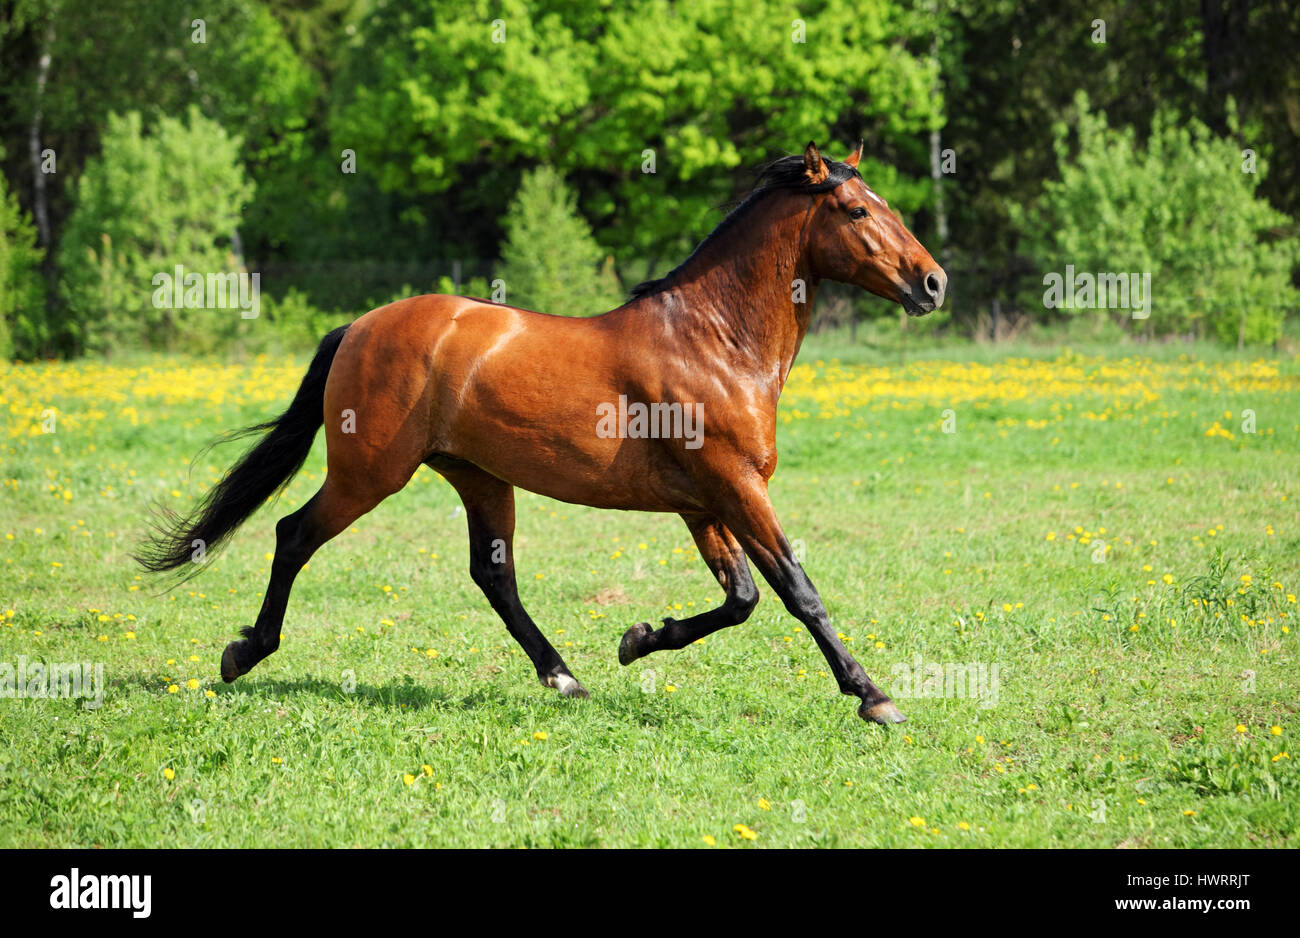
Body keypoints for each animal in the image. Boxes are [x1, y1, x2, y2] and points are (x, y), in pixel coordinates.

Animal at [137, 142, 946, 726]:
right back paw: (245, 653)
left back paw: (564, 677)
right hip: (370, 474)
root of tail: (360, 327)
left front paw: (637, 640)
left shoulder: (705, 503)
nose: (933, 283)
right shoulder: (736, 488)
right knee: (294, 535)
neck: (714, 343)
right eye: (854, 210)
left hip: (479, 477)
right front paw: (875, 698)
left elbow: (742, 598)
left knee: (493, 576)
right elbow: (796, 591)